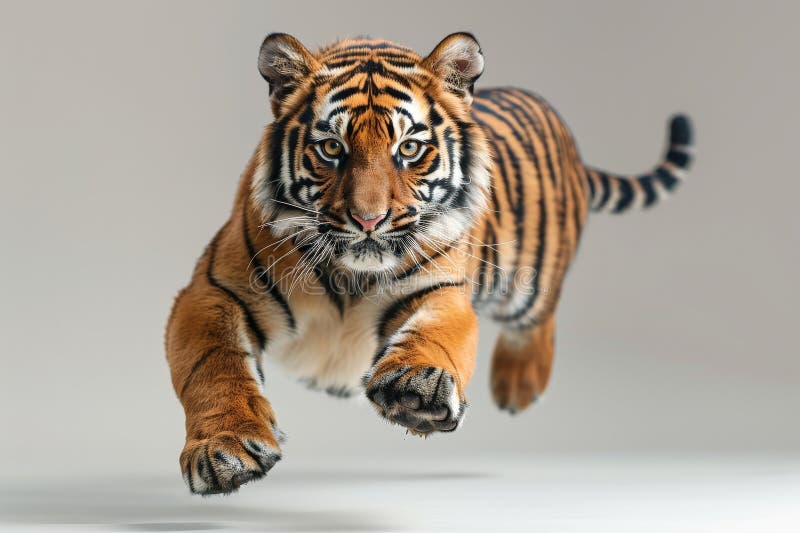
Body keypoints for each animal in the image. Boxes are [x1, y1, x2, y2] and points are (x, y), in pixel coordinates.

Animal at [165, 32, 693, 494]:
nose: (369, 219)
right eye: (332, 148)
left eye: (409, 149)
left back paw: (517, 387)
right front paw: (223, 449)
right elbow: (212, 366)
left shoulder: (440, 291)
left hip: (530, 279)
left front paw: (417, 391)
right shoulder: (213, 290)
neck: (350, 278)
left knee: (539, 315)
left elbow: (436, 337)